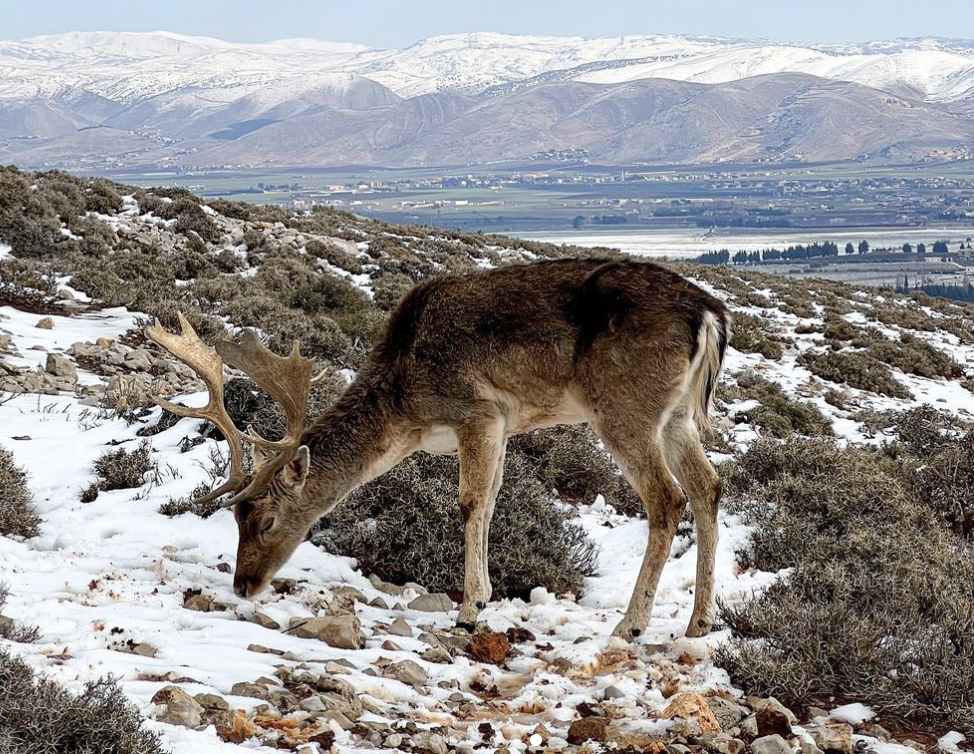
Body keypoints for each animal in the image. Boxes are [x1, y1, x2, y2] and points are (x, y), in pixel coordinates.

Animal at [146, 258, 729, 641]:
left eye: (265, 519)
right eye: (235, 516)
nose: (243, 585)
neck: (407, 411)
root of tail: (710, 317)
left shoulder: (479, 411)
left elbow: (470, 503)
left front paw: (469, 609)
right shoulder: (501, 427)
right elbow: (491, 501)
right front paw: (483, 596)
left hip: (625, 407)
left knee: (666, 498)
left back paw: (631, 624)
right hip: (677, 416)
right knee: (708, 485)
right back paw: (700, 621)